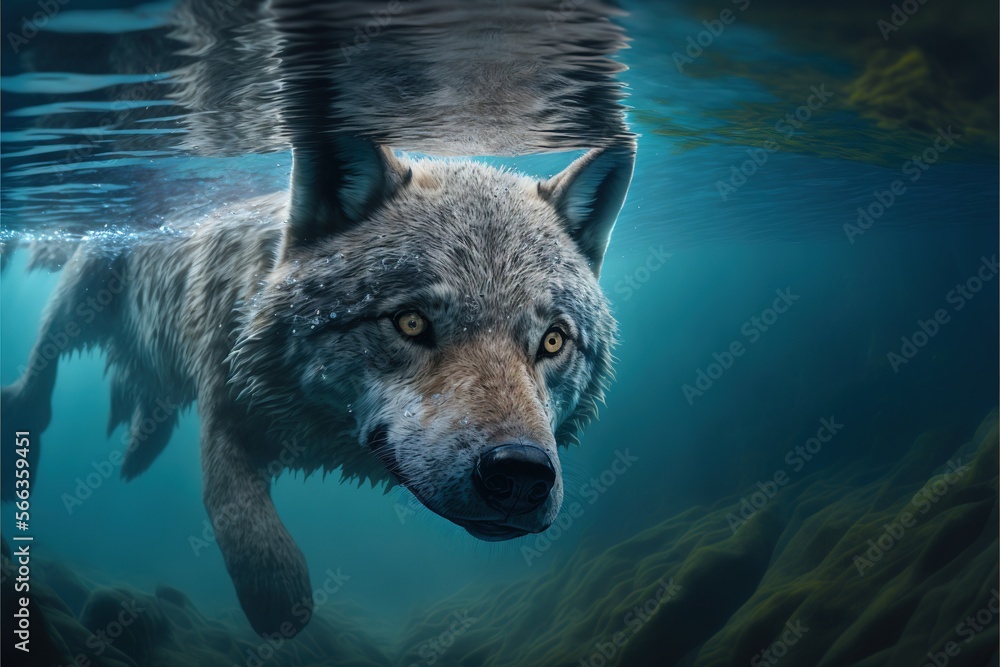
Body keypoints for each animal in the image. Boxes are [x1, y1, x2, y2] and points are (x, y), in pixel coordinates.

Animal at [2, 134, 634, 635]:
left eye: (552, 341)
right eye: (411, 323)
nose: (521, 474)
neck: (323, 435)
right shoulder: (226, 398)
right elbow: (234, 505)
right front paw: (278, 597)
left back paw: (138, 451)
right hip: (88, 289)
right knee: (45, 354)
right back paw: (25, 427)